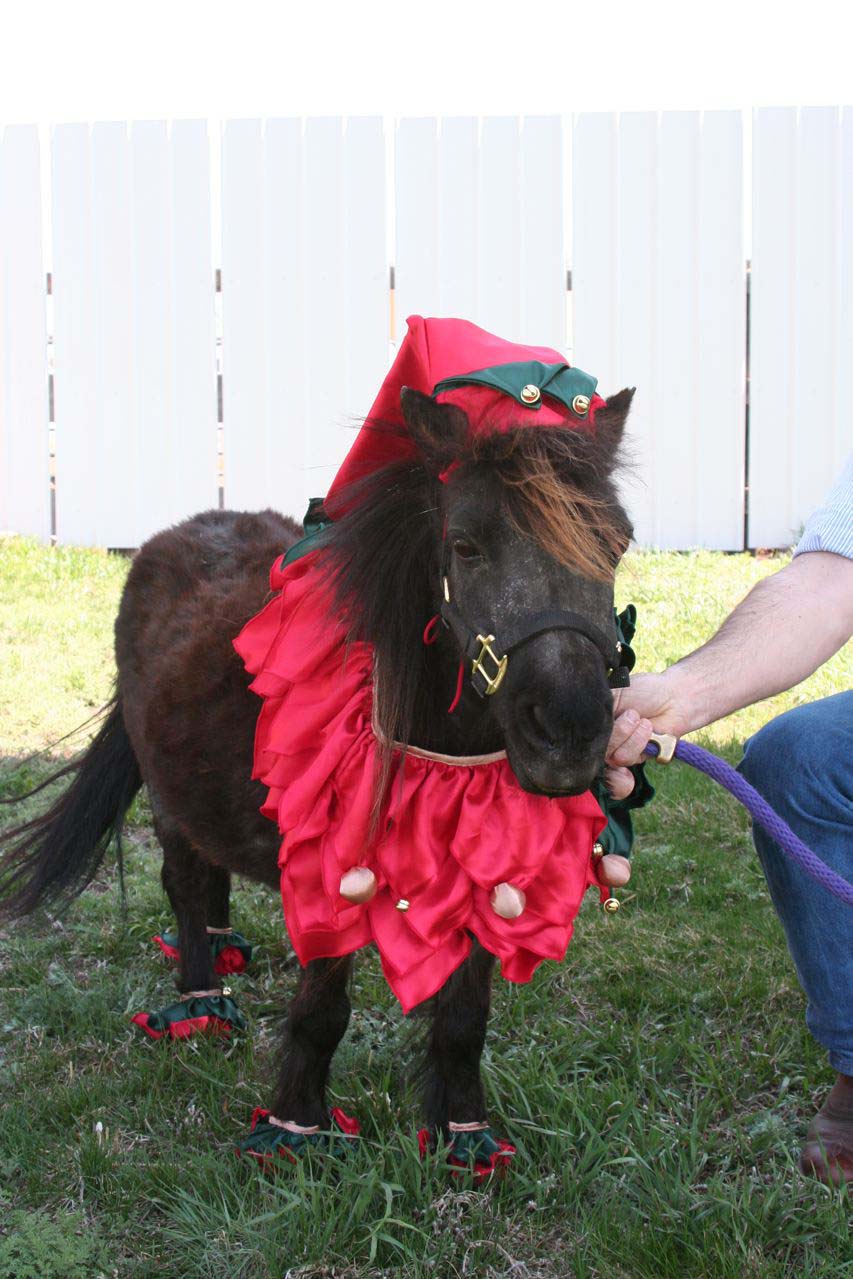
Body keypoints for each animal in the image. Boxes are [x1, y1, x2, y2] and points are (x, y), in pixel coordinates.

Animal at [0, 382, 635, 1165]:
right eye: (465, 545)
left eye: (616, 544)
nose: (569, 735)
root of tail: (183, 530)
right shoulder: (332, 880)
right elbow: (322, 1012)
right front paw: (294, 1129)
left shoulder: (486, 880)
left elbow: (465, 1016)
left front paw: (466, 1140)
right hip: (169, 797)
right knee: (184, 884)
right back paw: (200, 1005)